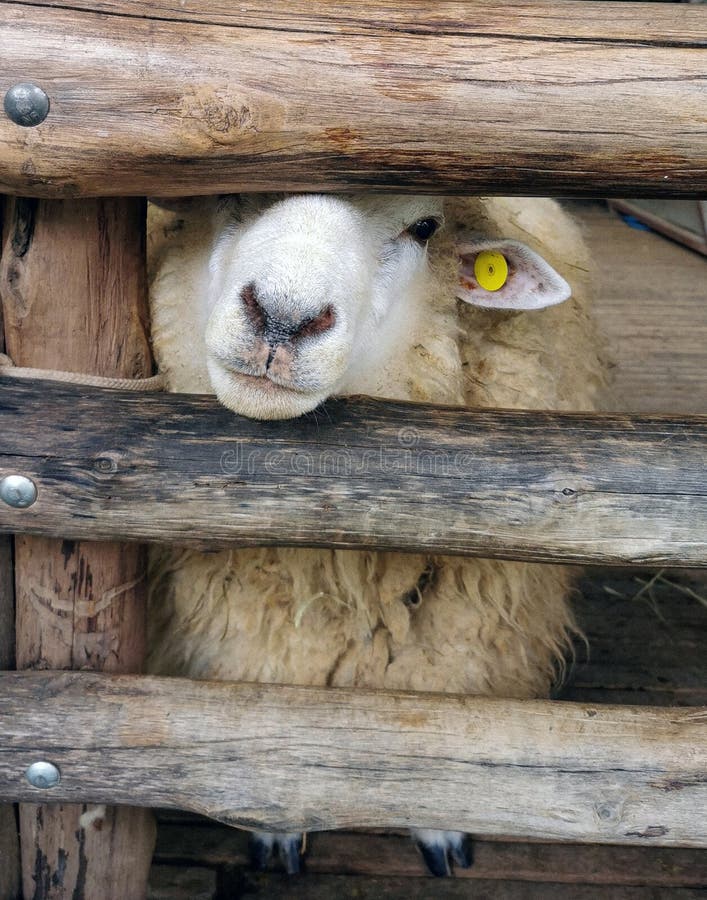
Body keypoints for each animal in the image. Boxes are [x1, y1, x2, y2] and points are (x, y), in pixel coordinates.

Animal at [146, 193, 608, 876]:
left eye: (425, 227)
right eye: (222, 197)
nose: (282, 320)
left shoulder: (468, 636)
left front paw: (439, 822)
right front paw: (278, 818)